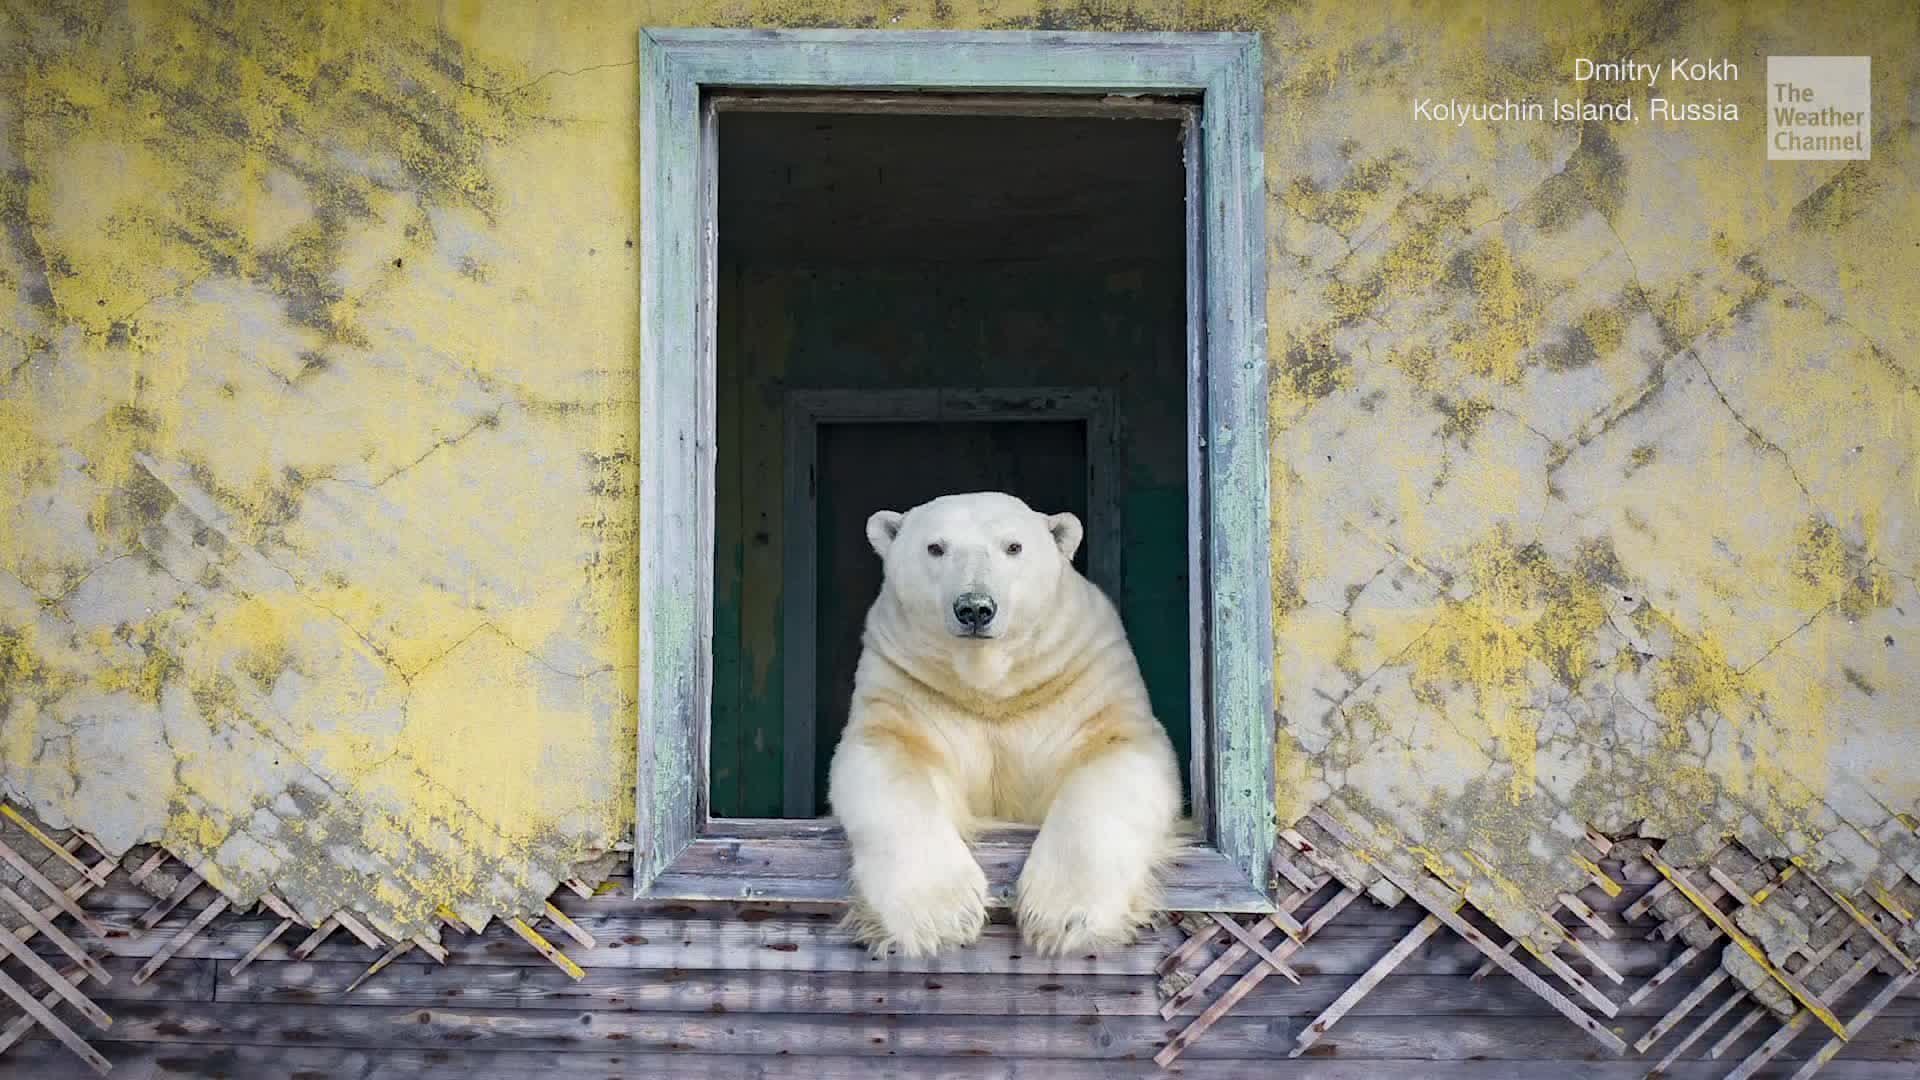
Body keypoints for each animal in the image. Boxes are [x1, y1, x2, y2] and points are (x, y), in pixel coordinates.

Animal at [827, 491, 1183, 956]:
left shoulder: (1082, 676)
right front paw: (940, 917)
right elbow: (888, 757)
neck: (990, 688)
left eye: (1013, 546)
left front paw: (1064, 917)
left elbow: (1115, 754)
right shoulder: (907, 685)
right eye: (935, 547)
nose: (975, 608)